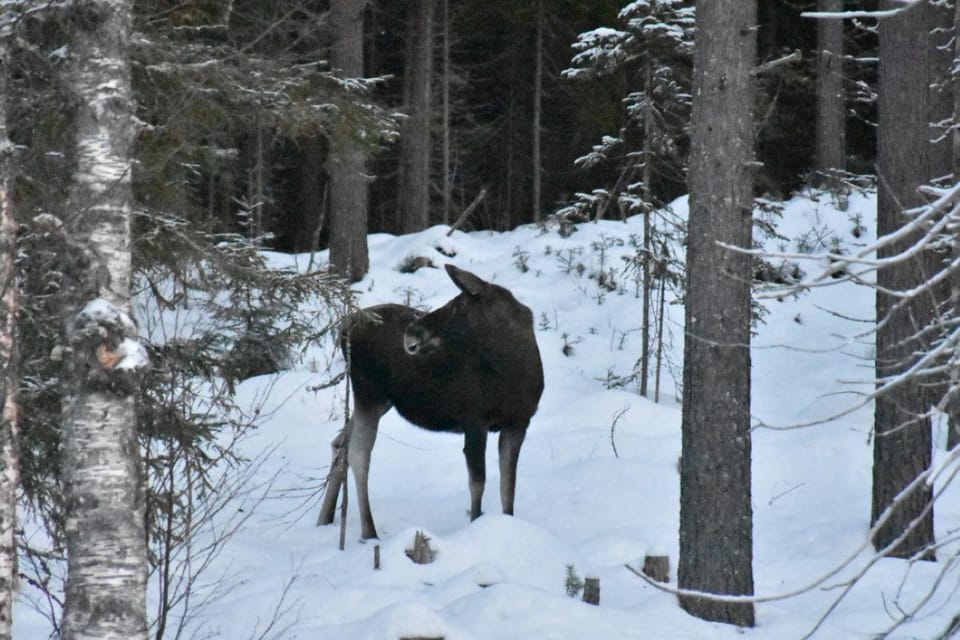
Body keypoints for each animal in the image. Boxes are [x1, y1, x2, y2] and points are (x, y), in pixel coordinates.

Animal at [318, 264, 544, 540]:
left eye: (458, 305)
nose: (411, 332)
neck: (513, 372)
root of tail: (343, 328)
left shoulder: (519, 423)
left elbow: (508, 489)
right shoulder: (474, 420)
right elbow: (478, 483)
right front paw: (476, 523)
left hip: (382, 401)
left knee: (340, 443)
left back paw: (325, 518)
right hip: (369, 393)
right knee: (359, 453)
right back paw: (369, 532)